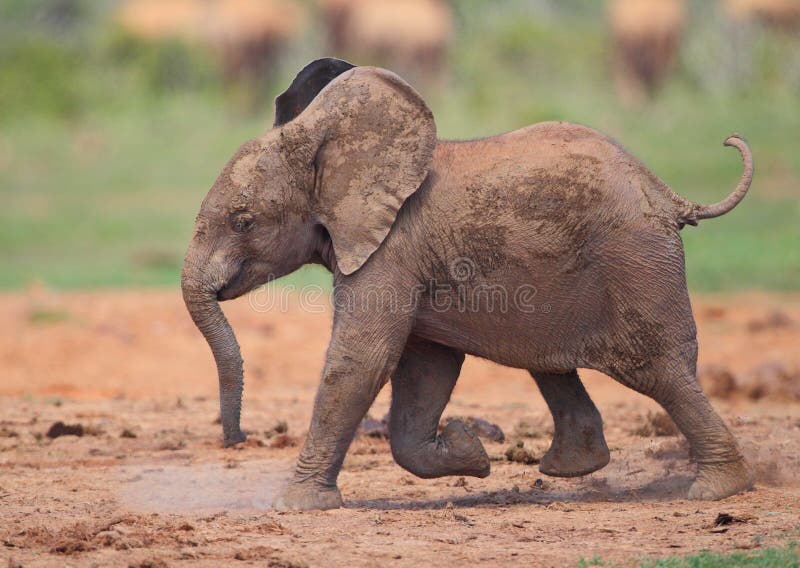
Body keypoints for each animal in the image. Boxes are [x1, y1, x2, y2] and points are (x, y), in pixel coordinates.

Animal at [181, 58, 754, 510]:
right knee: (556, 361)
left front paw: (296, 505)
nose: (238, 439)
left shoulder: (392, 250)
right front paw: (471, 453)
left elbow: (362, 358)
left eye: (243, 221)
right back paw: (571, 468)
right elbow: (423, 369)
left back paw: (717, 490)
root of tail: (667, 194)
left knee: (657, 368)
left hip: (633, 262)